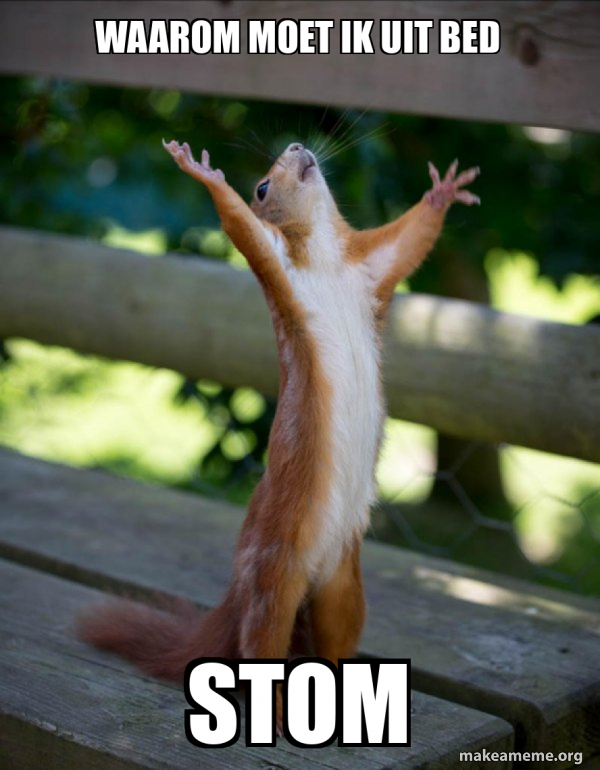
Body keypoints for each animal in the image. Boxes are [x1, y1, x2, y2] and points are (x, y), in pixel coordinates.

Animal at [77, 138, 479, 731]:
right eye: (262, 186)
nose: (296, 147)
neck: (327, 260)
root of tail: (241, 590)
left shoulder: (372, 268)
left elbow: (410, 240)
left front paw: (443, 192)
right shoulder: (278, 266)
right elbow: (241, 226)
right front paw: (204, 173)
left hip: (344, 589)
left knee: (333, 642)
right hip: (273, 579)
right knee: (260, 649)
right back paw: (283, 708)